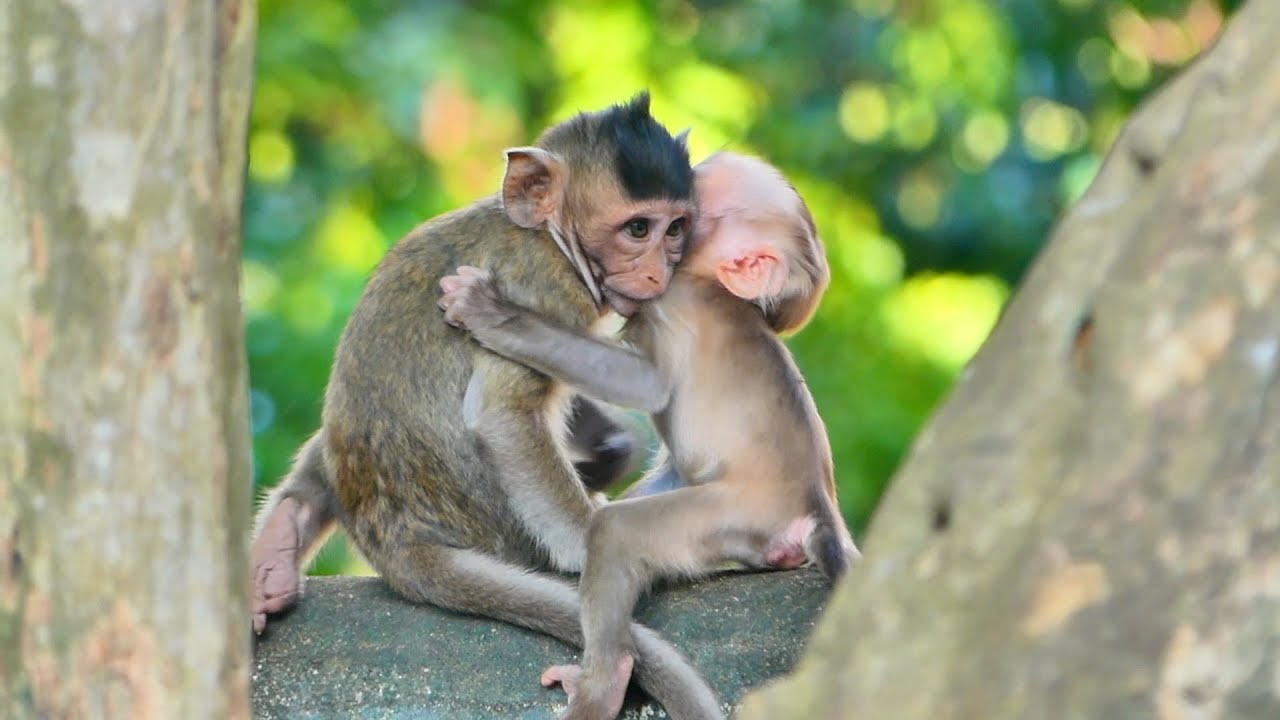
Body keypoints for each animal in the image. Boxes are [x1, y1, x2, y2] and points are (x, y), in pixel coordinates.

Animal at [249, 93, 726, 720]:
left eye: (677, 228)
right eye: (638, 228)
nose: (660, 269)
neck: (548, 235)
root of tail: (398, 543)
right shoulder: (546, 287)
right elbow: (504, 414)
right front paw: (596, 542)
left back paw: (280, 543)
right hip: (504, 529)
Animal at [437, 151, 860, 719]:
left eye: (688, 218)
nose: (693, 170)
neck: (706, 281)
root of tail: (816, 506)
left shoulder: (674, 302)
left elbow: (644, 383)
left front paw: (494, 315)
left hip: (737, 512)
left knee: (617, 533)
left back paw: (605, 683)